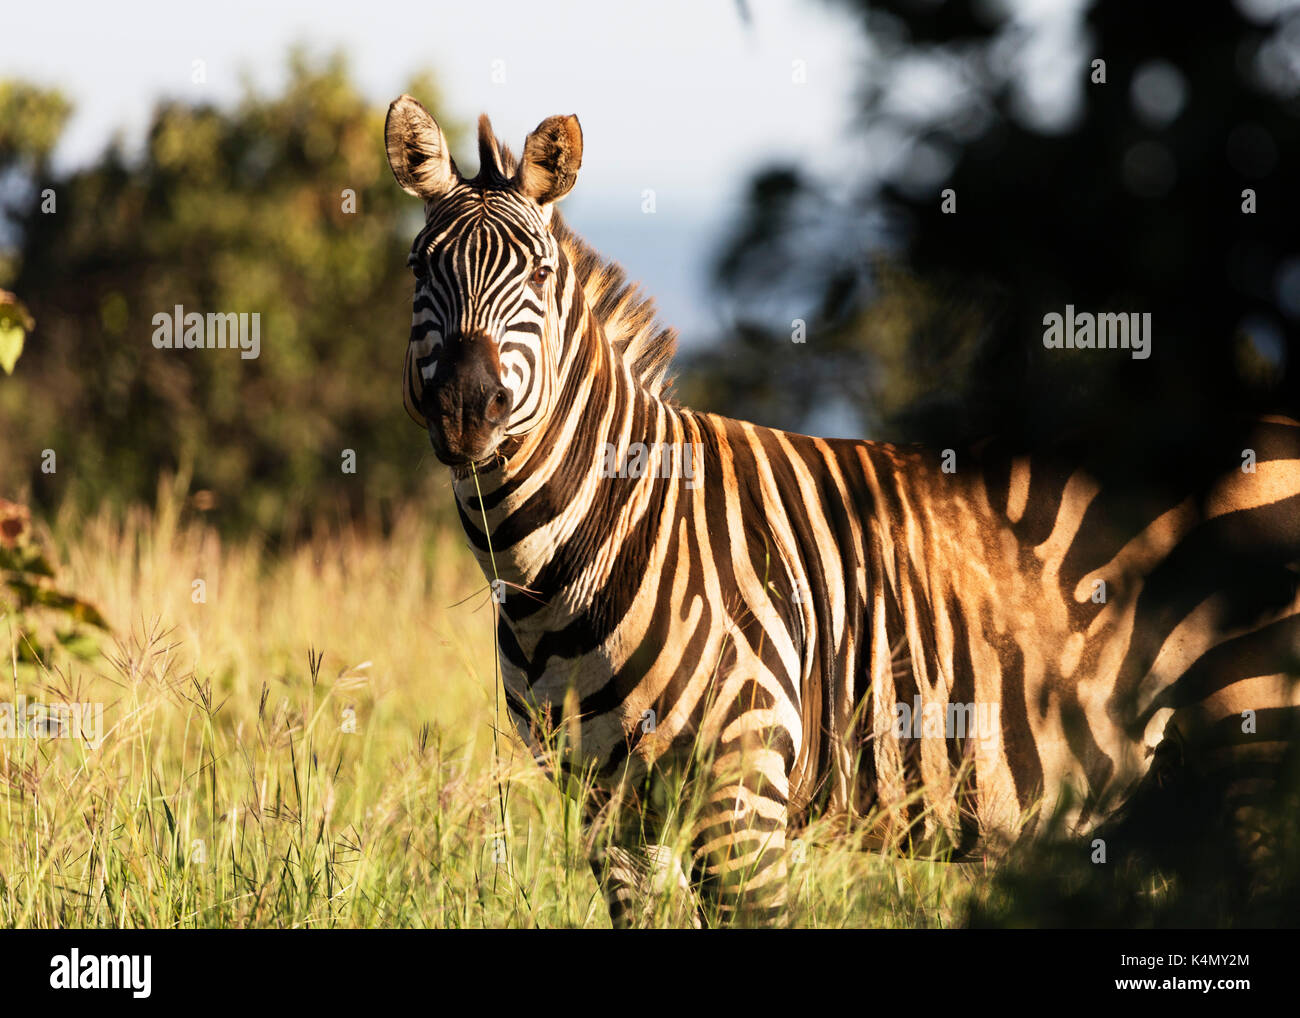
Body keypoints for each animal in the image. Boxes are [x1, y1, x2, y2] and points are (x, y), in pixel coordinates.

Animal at [384, 94, 1300, 926]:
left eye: (539, 275)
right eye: (419, 270)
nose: (465, 410)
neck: (582, 549)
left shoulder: (740, 795)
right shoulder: (612, 812)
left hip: (1258, 733)